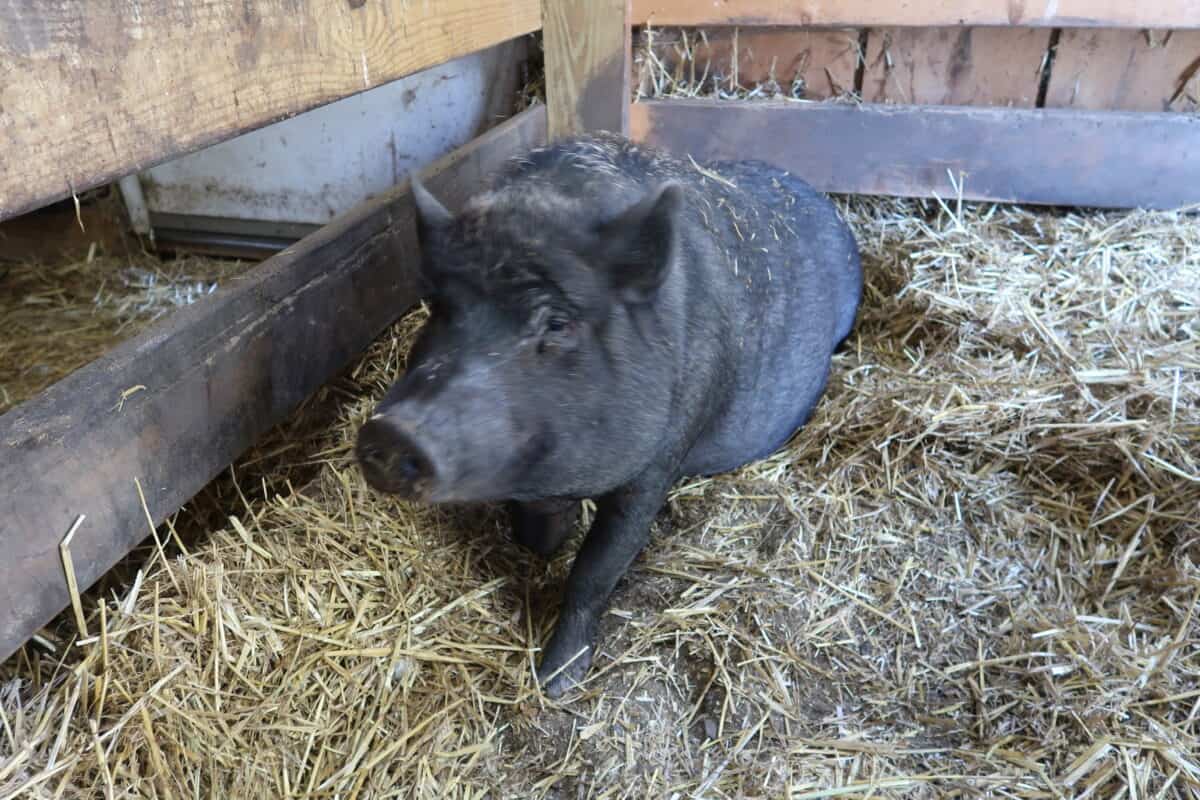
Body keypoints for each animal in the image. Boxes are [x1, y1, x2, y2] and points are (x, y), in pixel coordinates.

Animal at [356, 133, 862, 697]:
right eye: (439, 306)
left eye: (557, 323)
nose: (393, 431)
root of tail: (821, 198)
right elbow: (534, 529)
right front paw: (547, 539)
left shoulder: (660, 461)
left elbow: (596, 570)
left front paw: (556, 683)